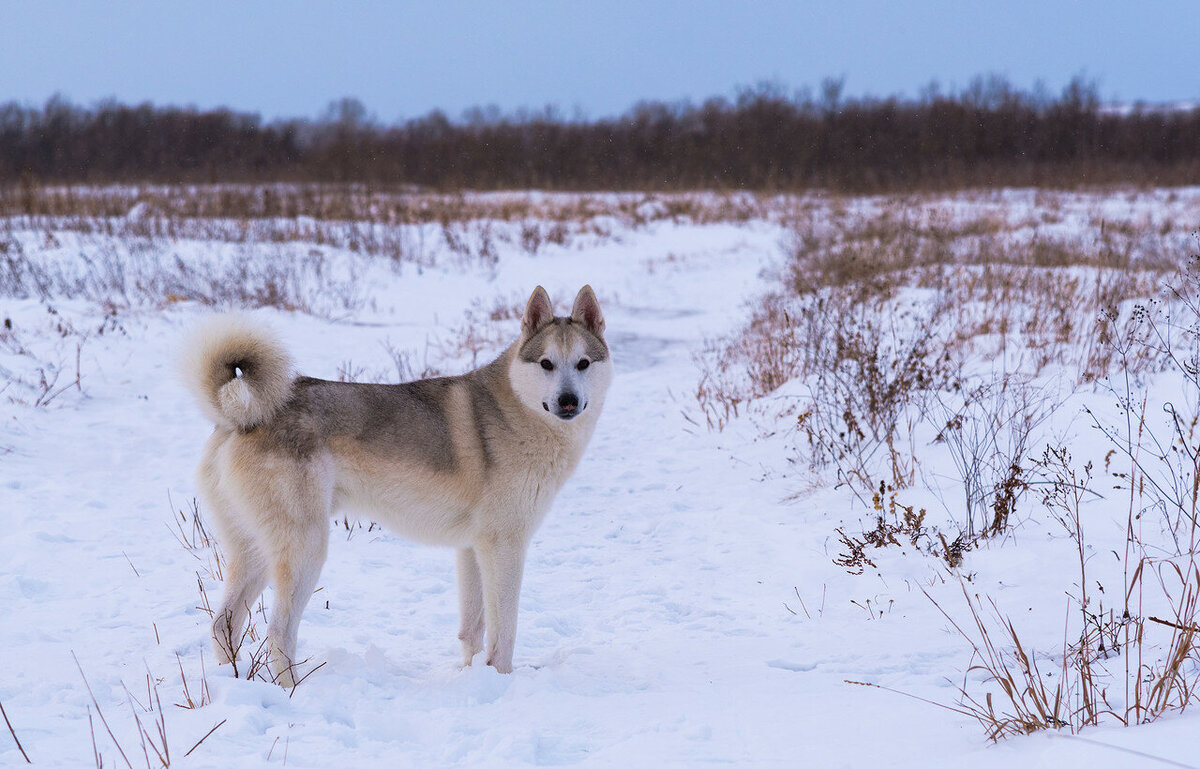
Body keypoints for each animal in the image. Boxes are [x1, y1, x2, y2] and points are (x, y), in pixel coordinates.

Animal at [182, 285, 609, 681]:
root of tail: (240, 417)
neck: (518, 412)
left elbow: (472, 631)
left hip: (254, 552)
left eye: (583, 363)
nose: (568, 401)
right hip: (305, 550)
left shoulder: (472, 549)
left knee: (223, 623)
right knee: (278, 632)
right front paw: (501, 679)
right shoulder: (505, 547)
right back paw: (292, 688)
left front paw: (471, 677)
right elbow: (503, 634)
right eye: (546, 364)